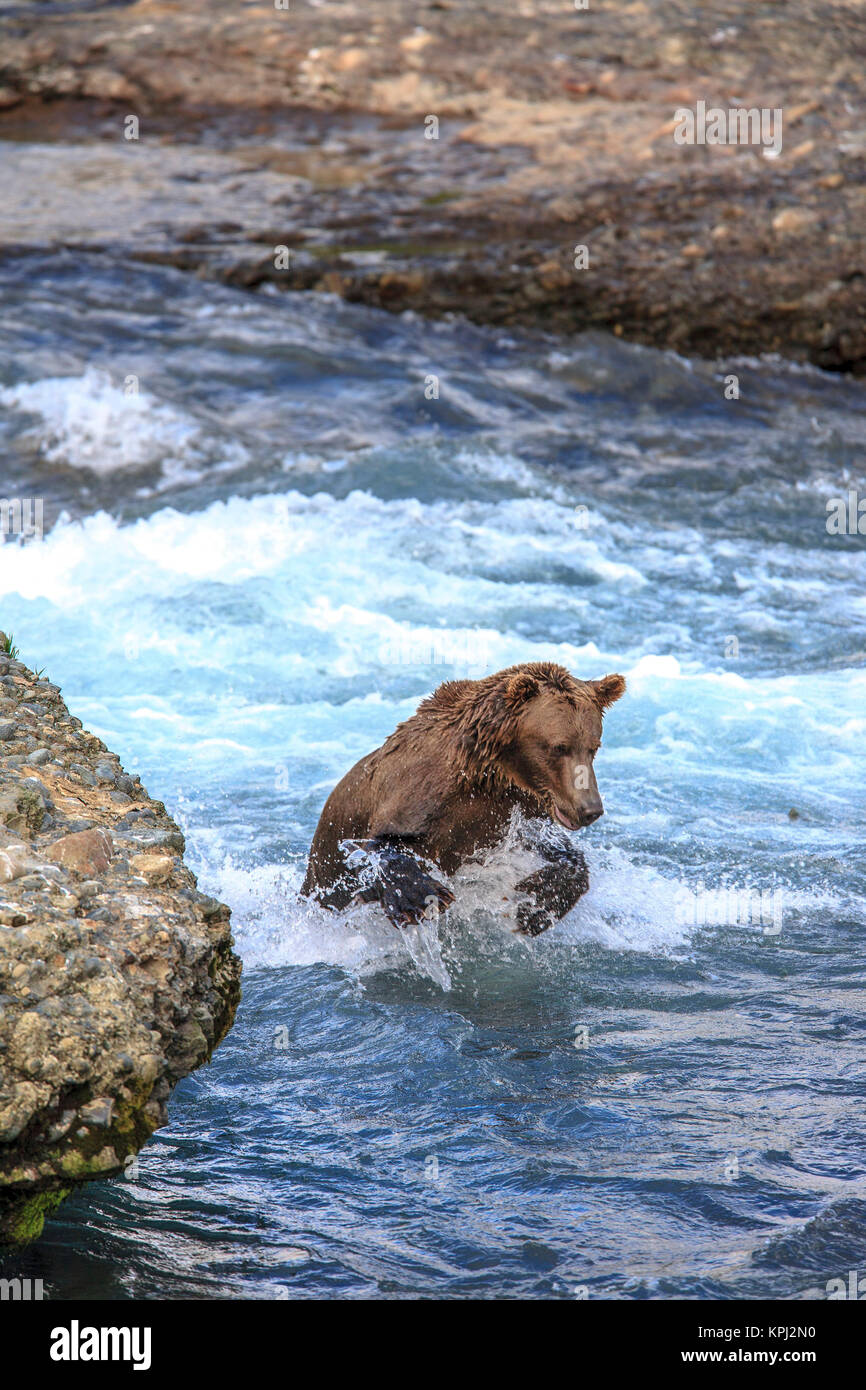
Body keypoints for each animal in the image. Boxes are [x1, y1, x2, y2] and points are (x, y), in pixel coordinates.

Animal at [301, 661, 626, 936]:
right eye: (558, 747)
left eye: (593, 746)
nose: (589, 809)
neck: (486, 775)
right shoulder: (416, 792)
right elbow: (377, 843)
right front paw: (419, 898)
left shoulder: (509, 816)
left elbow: (554, 850)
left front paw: (536, 904)